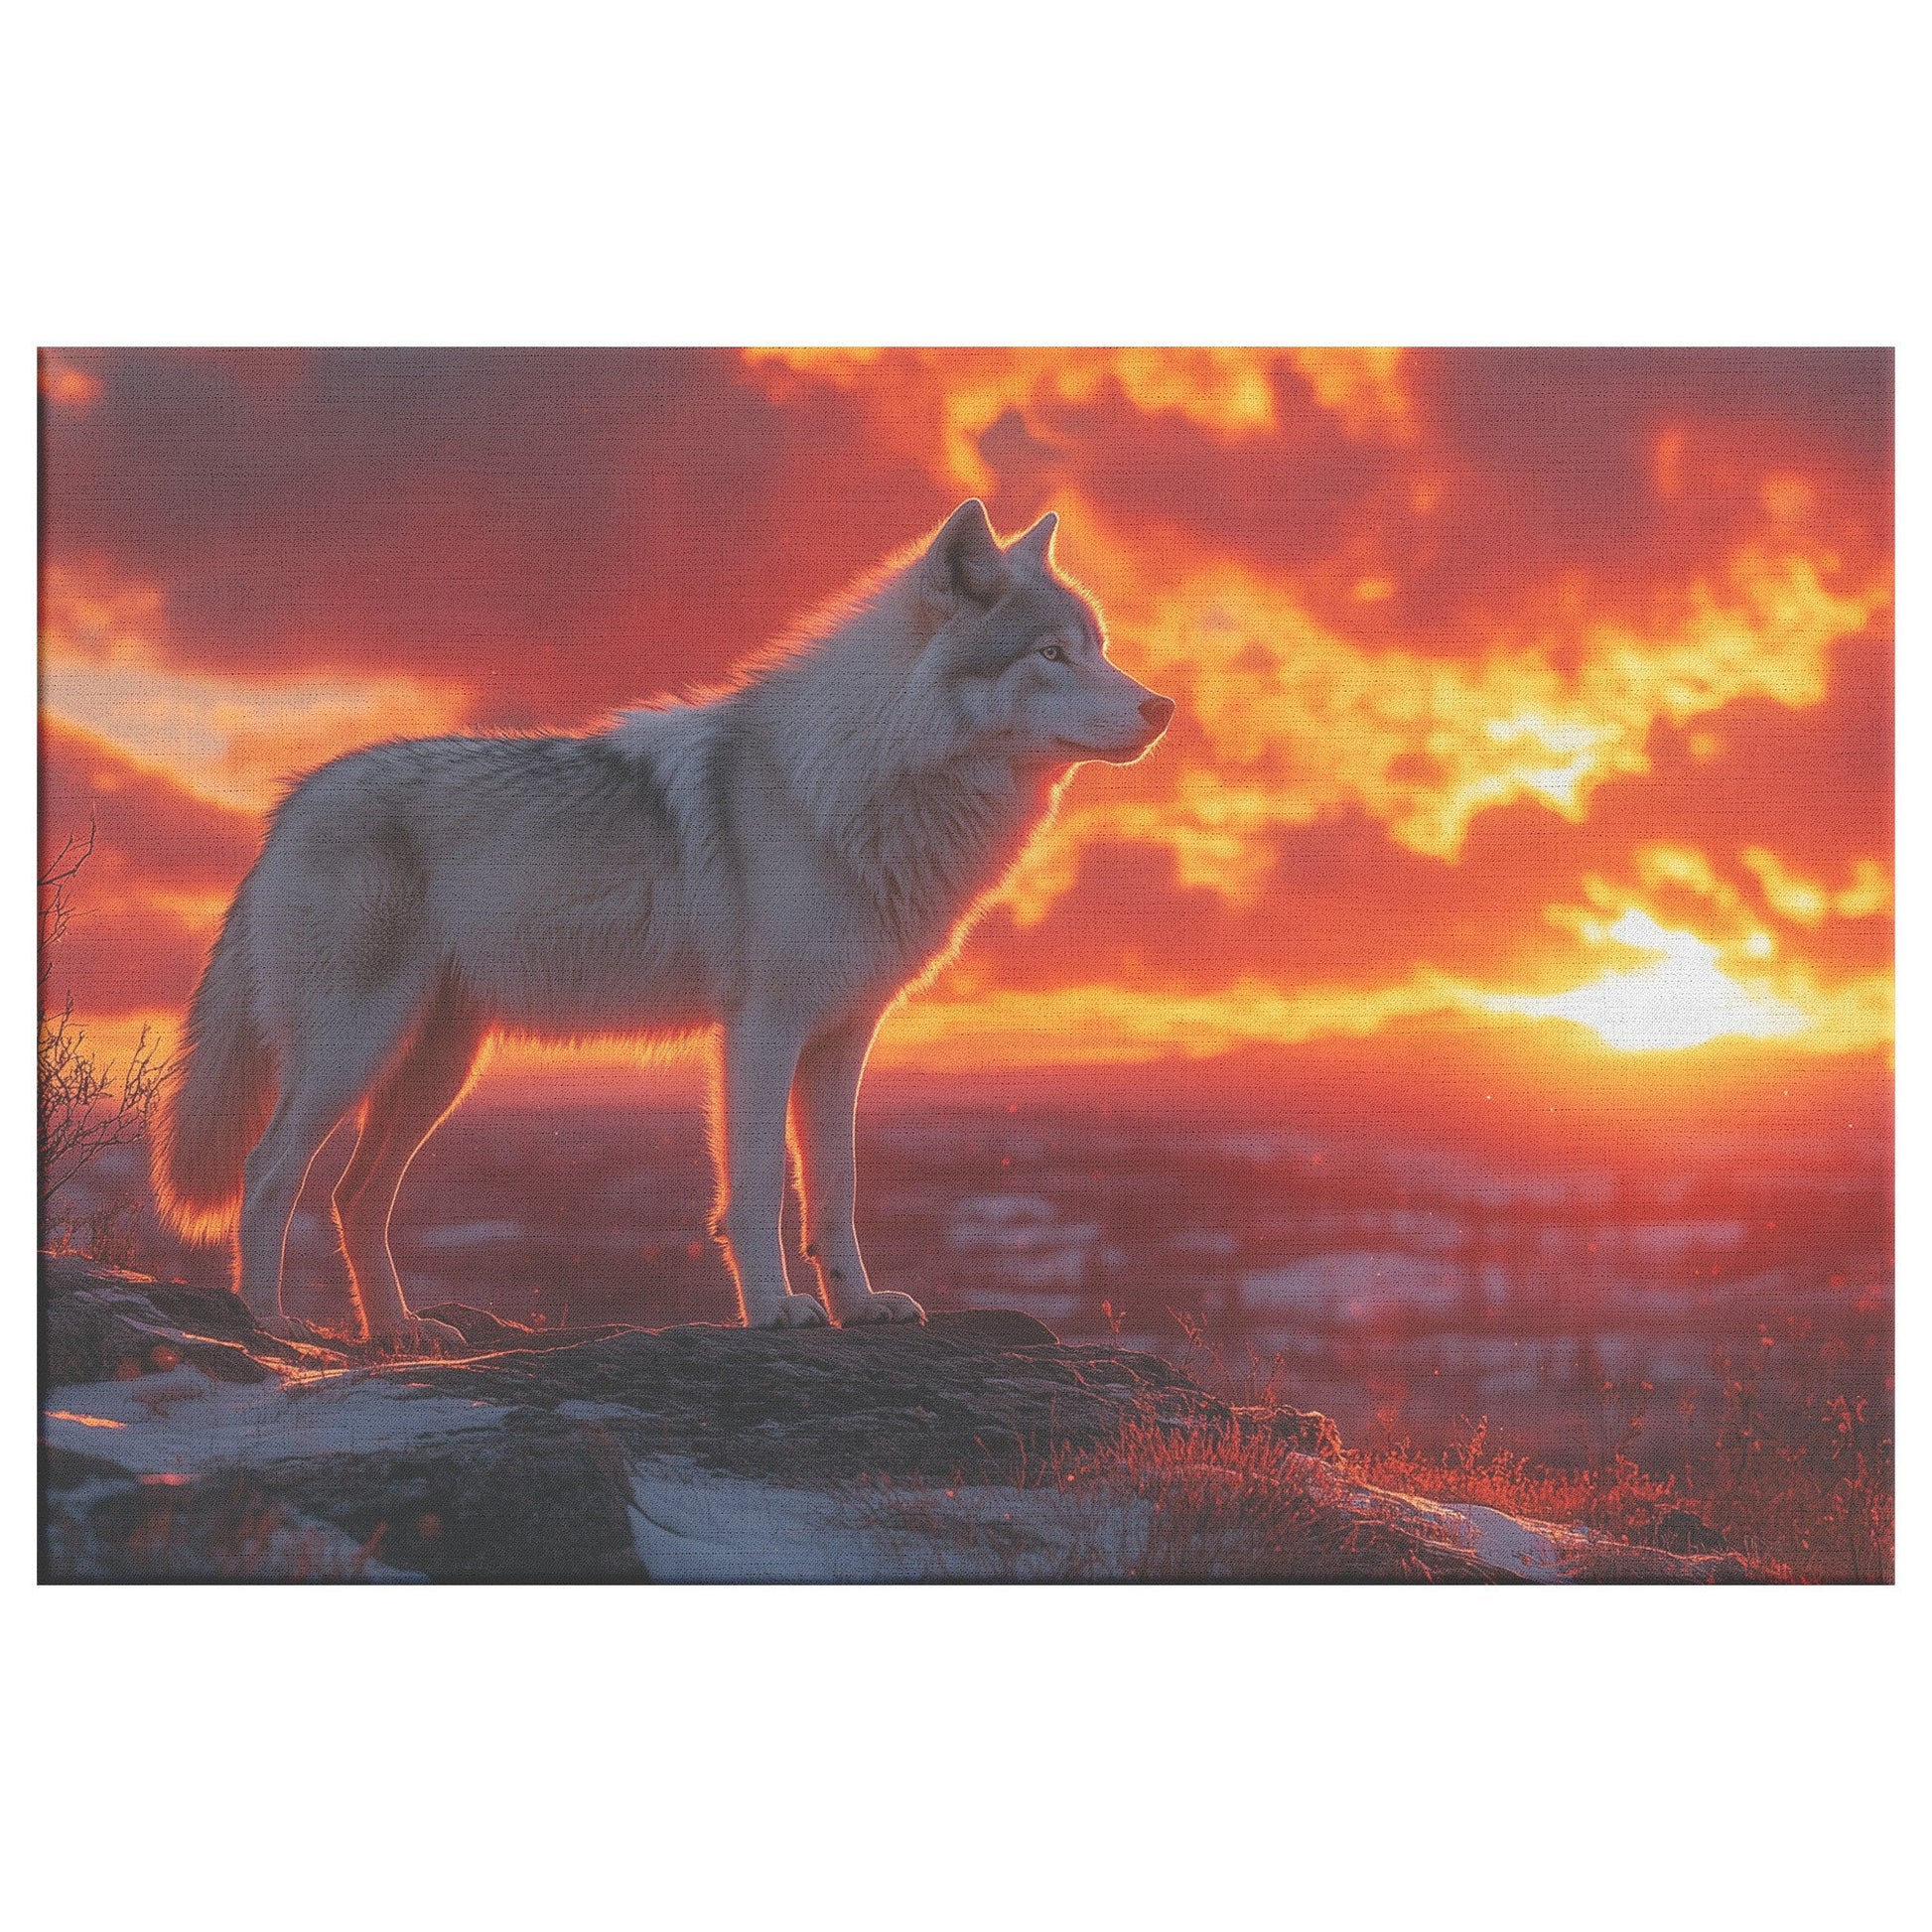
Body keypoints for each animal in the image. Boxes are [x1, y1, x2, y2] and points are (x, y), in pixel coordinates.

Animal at [152, 500, 1173, 1344]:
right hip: (355, 1050)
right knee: (268, 1172)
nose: (1163, 706)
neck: (851, 777)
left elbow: (834, 1194)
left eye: (1098, 646)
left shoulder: (842, 1038)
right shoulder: (762, 1030)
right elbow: (755, 1191)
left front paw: (859, 1307)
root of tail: (289, 804)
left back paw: (398, 1332)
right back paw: (274, 1328)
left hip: (438, 1066)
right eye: (1051, 654)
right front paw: (775, 1312)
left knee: (355, 1196)